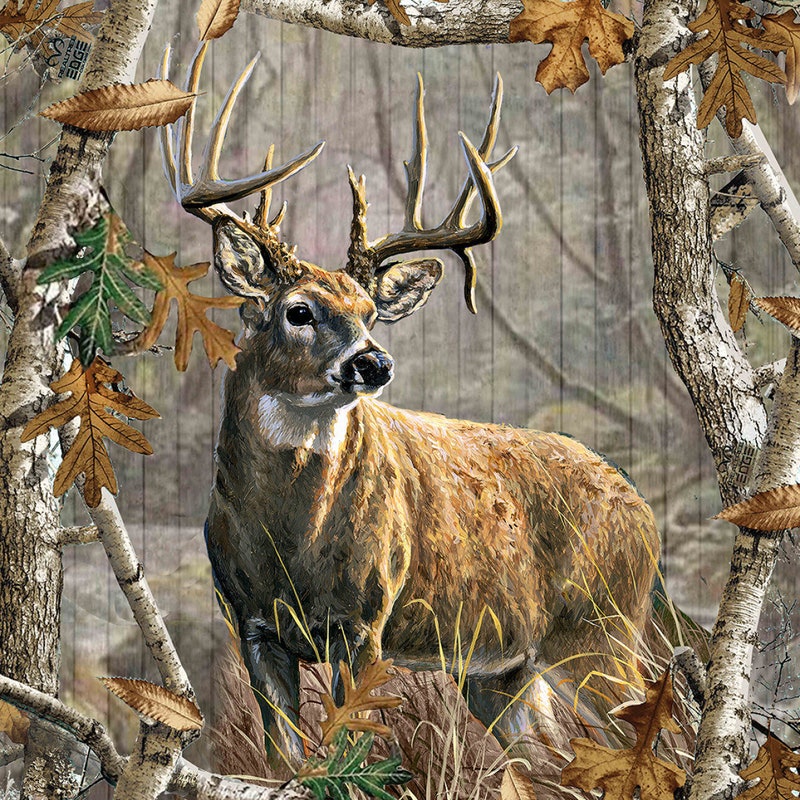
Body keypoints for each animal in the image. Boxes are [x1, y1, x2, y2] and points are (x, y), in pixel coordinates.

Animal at [160, 43, 661, 763]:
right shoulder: (251, 626)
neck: (289, 545)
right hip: (506, 670)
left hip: (602, 629)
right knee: (547, 760)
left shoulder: (367, 619)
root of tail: (645, 513)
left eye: (370, 313)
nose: (373, 361)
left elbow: (350, 752)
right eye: (298, 310)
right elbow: (287, 763)